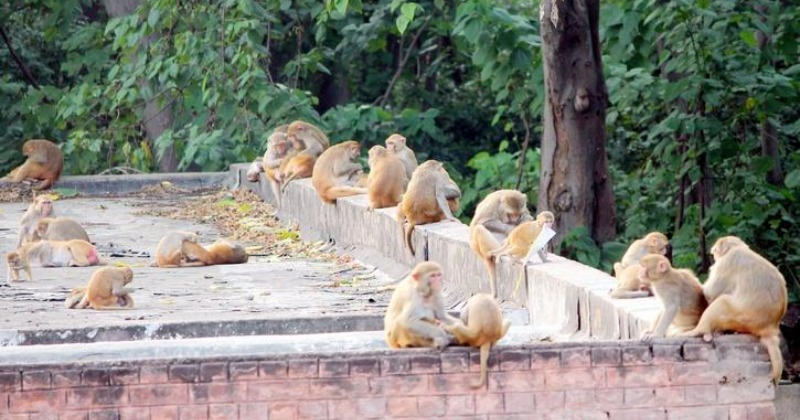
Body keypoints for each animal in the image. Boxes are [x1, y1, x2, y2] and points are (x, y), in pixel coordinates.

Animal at [677, 236, 788, 383]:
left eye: (715, 254)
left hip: (740, 318)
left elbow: (710, 292)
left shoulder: (726, 263)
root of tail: (769, 328)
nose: (714, 258)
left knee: (722, 301)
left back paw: (698, 330)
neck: (736, 248)